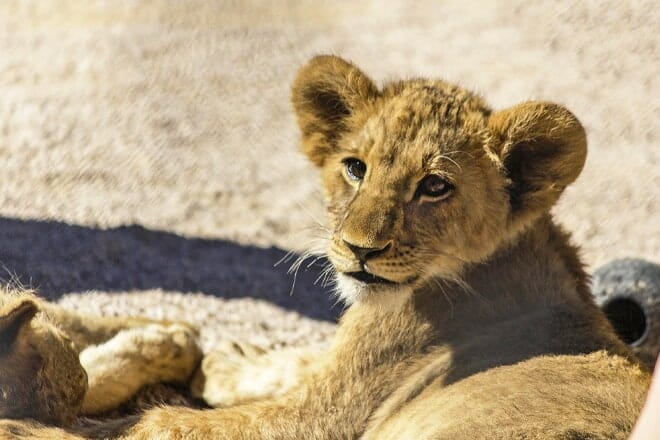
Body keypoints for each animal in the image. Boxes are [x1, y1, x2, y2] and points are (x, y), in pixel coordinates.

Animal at [0, 55, 651, 439]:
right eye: (356, 168)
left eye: (435, 186)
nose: (359, 249)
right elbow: (301, 358)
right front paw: (224, 360)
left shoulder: (323, 416)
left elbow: (166, 425)